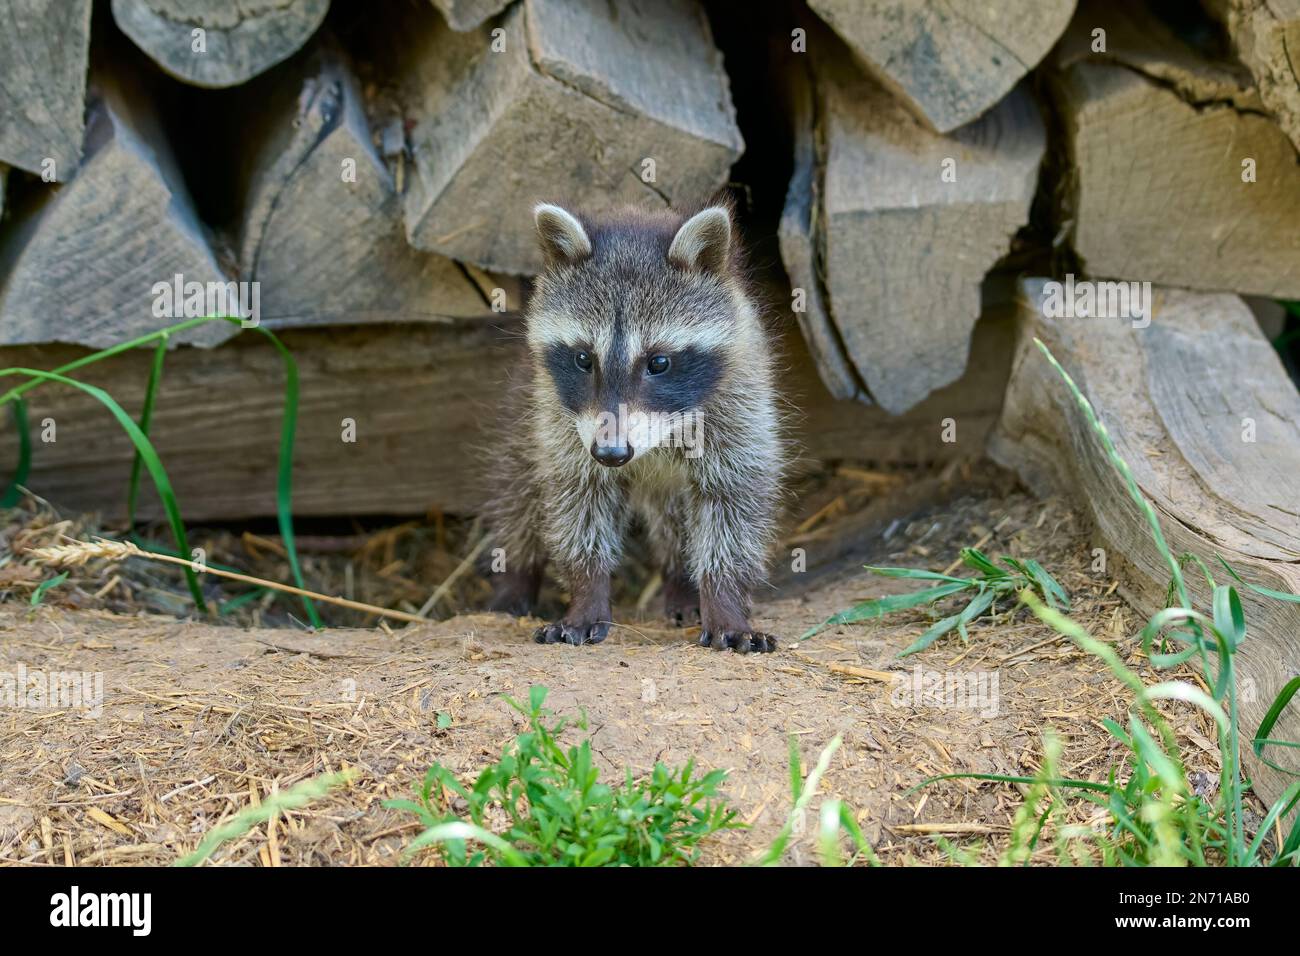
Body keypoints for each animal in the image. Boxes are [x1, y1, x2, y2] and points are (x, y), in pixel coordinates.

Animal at [484, 201, 786, 653]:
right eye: (583, 359)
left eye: (658, 362)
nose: (611, 453)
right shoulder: (559, 417)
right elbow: (578, 497)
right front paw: (586, 591)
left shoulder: (739, 402)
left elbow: (732, 501)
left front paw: (725, 599)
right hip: (526, 408)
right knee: (518, 489)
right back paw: (517, 576)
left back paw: (681, 584)